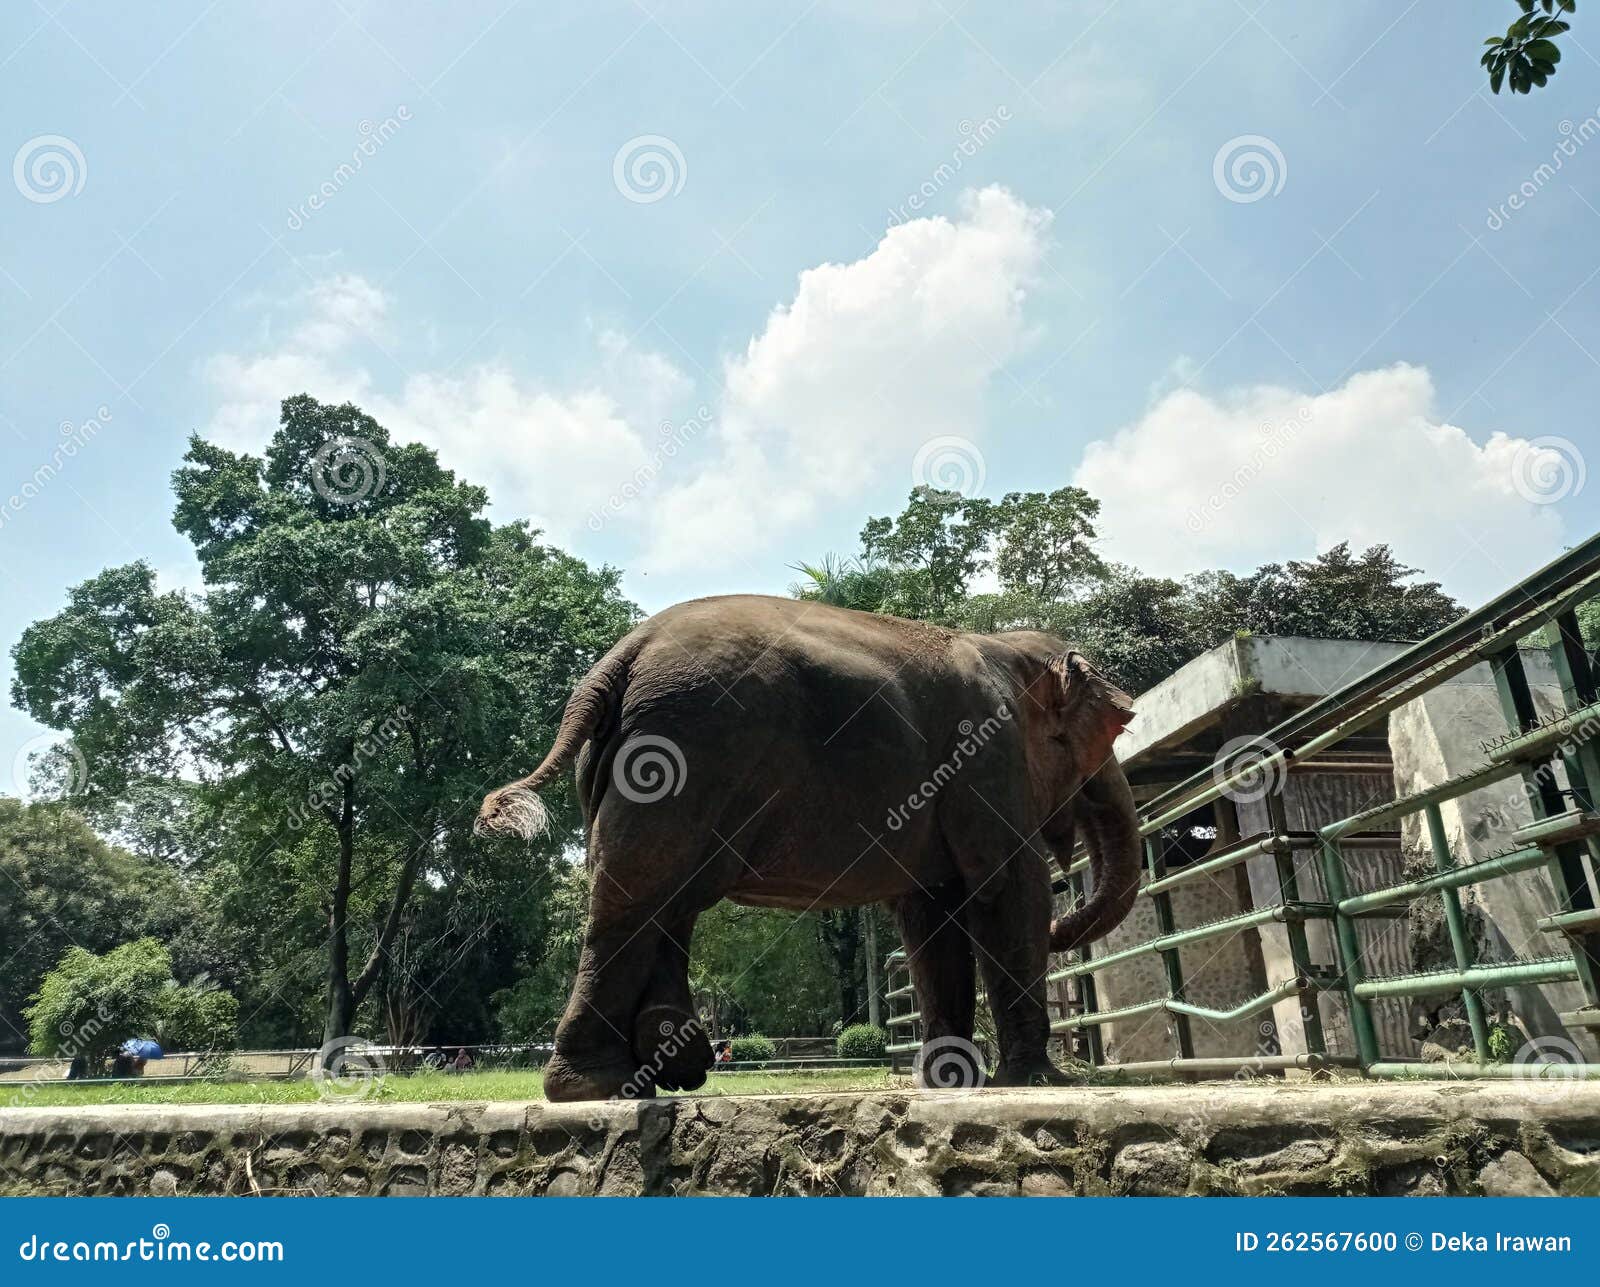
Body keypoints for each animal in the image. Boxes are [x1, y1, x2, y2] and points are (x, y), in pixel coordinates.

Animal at [476, 594, 1141, 1102]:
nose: (1065, 927)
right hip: (681, 758)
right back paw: (596, 1088)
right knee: (637, 899)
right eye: (1109, 733)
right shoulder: (986, 755)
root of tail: (618, 659)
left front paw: (952, 1084)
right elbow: (1007, 887)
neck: (1004, 648)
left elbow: (933, 913)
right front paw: (1038, 1081)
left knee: (661, 900)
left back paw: (662, 1072)